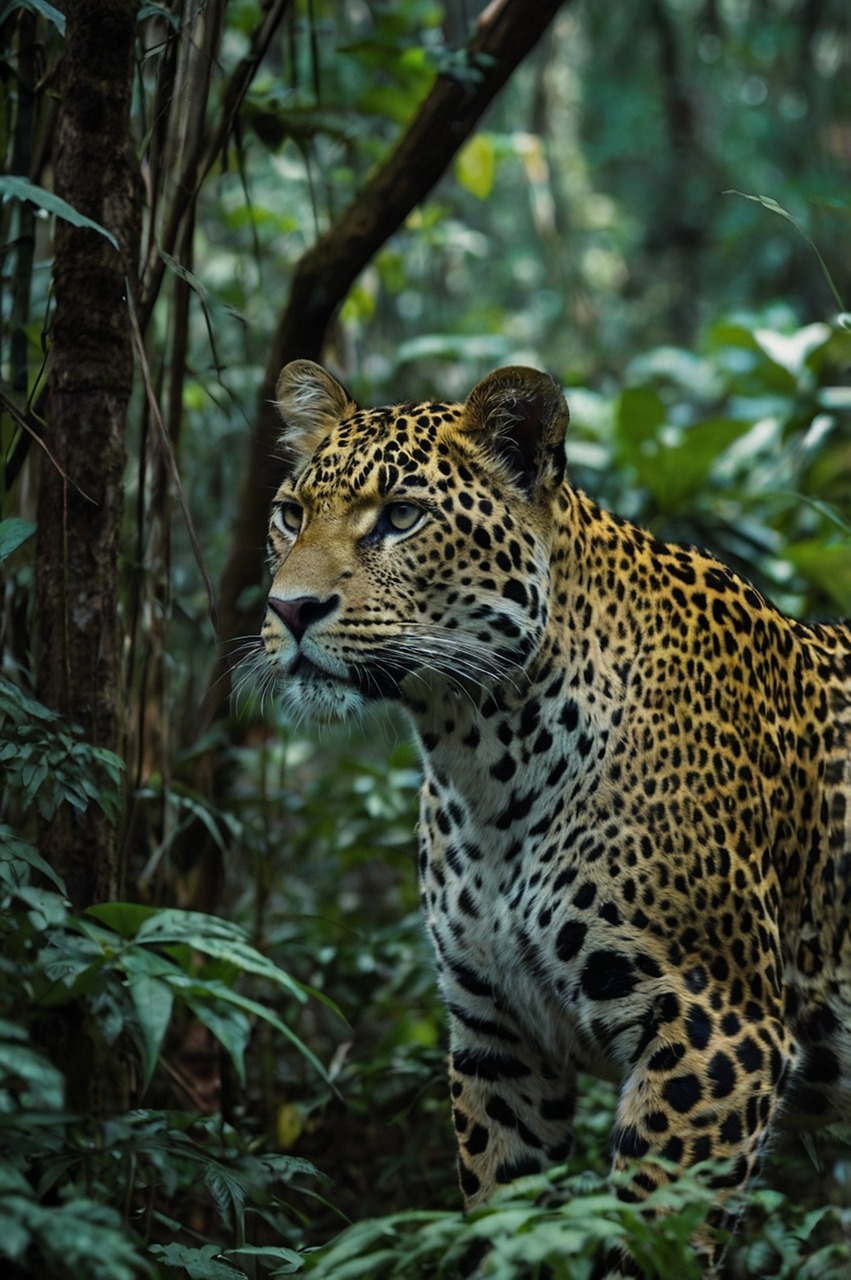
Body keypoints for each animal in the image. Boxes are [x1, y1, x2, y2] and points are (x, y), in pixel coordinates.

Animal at [260, 358, 851, 1258]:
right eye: (290, 515)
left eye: (400, 517)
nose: (289, 610)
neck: (480, 753)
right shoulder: (496, 1033)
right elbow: (506, 1222)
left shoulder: (719, 1030)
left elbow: (652, 1239)